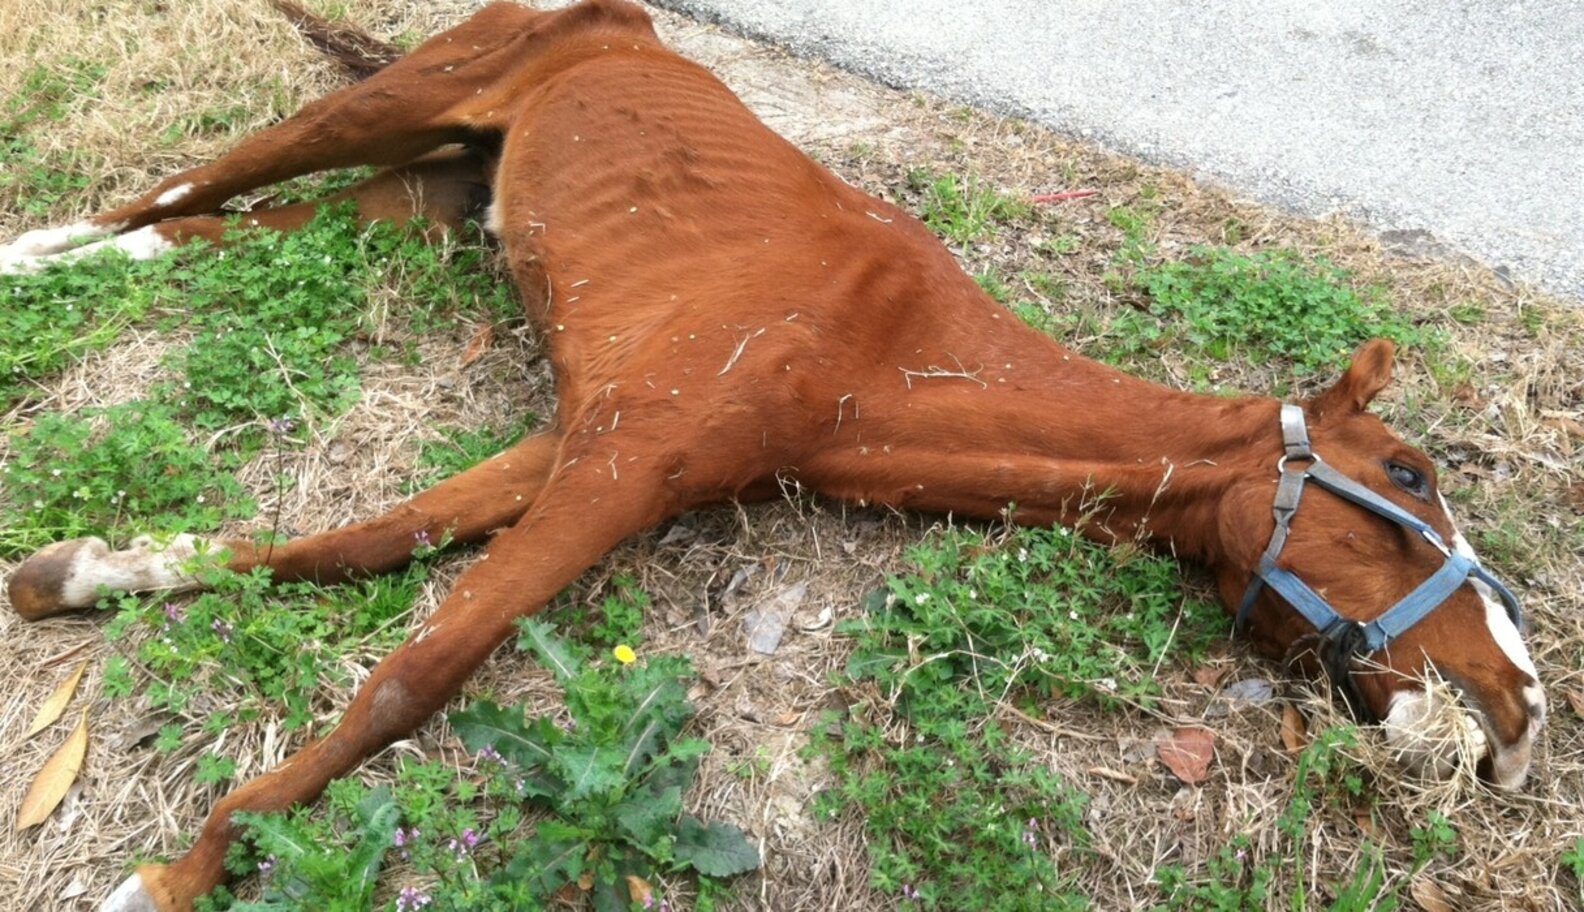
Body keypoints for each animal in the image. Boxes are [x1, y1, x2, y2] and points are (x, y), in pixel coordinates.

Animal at [0, 2, 1543, 909]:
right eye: (1408, 478)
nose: (1523, 712)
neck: (877, 355)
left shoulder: (580, 445)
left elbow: (347, 546)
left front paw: (82, 571)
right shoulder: (622, 457)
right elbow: (411, 676)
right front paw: (182, 873)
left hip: (429, 190)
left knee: (210, 229)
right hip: (397, 105)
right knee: (185, 184)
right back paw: (37, 250)